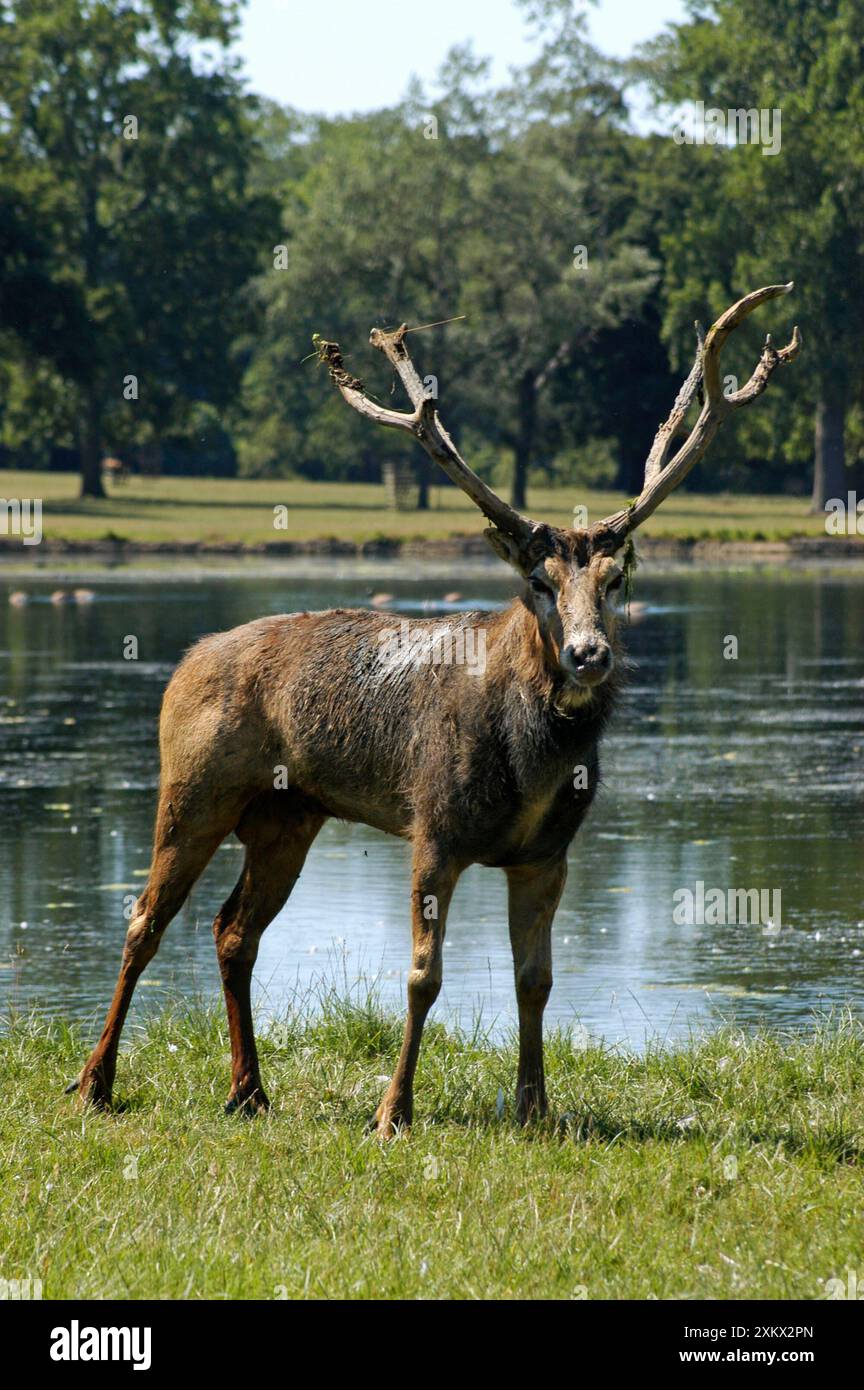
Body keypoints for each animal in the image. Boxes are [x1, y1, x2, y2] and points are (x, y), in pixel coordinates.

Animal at [67, 284, 800, 1135]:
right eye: (539, 582)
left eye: (614, 579)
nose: (590, 654)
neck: (530, 770)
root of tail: (182, 664)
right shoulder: (434, 829)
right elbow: (423, 976)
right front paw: (393, 1111)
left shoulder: (549, 852)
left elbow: (535, 980)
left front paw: (535, 1108)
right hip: (193, 786)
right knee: (143, 920)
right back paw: (96, 1083)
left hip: (287, 817)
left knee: (232, 932)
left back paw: (248, 1090)